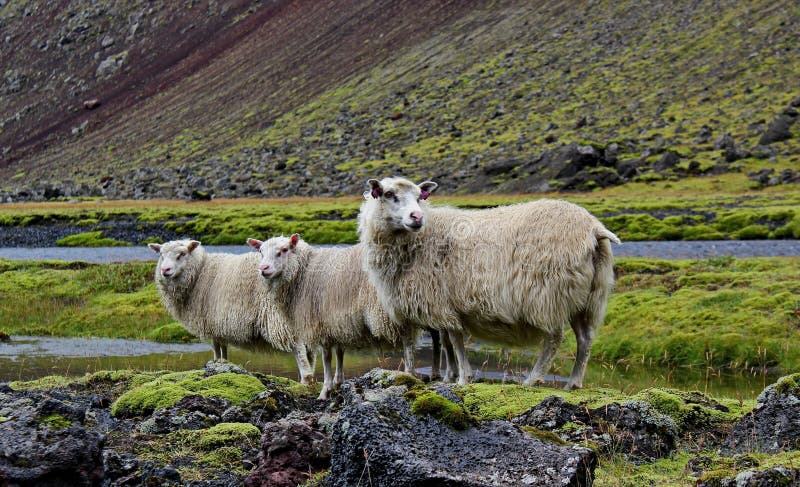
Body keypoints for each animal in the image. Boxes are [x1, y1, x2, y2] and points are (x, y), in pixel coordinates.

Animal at [148, 239, 316, 384]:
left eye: (181, 254)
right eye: (161, 255)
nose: (165, 270)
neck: (199, 273)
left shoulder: (211, 323)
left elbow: (216, 349)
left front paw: (216, 363)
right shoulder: (220, 325)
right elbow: (223, 349)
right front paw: (224, 364)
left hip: (281, 319)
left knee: (300, 350)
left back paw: (305, 380)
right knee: (310, 353)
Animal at [247, 234, 418, 400]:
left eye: (284, 250)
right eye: (260, 251)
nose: (263, 268)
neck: (303, 272)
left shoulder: (320, 323)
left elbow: (327, 358)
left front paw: (325, 391)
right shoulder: (336, 322)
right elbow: (339, 352)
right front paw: (338, 382)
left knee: (407, 341)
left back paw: (409, 374)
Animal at [358, 176, 620, 390]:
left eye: (419, 198)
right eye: (389, 194)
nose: (417, 216)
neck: (418, 240)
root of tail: (594, 228)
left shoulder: (443, 301)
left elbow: (454, 339)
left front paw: (462, 377)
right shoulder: (441, 301)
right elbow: (446, 341)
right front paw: (449, 375)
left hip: (548, 293)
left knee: (554, 339)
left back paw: (532, 379)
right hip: (587, 296)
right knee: (585, 339)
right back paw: (574, 383)